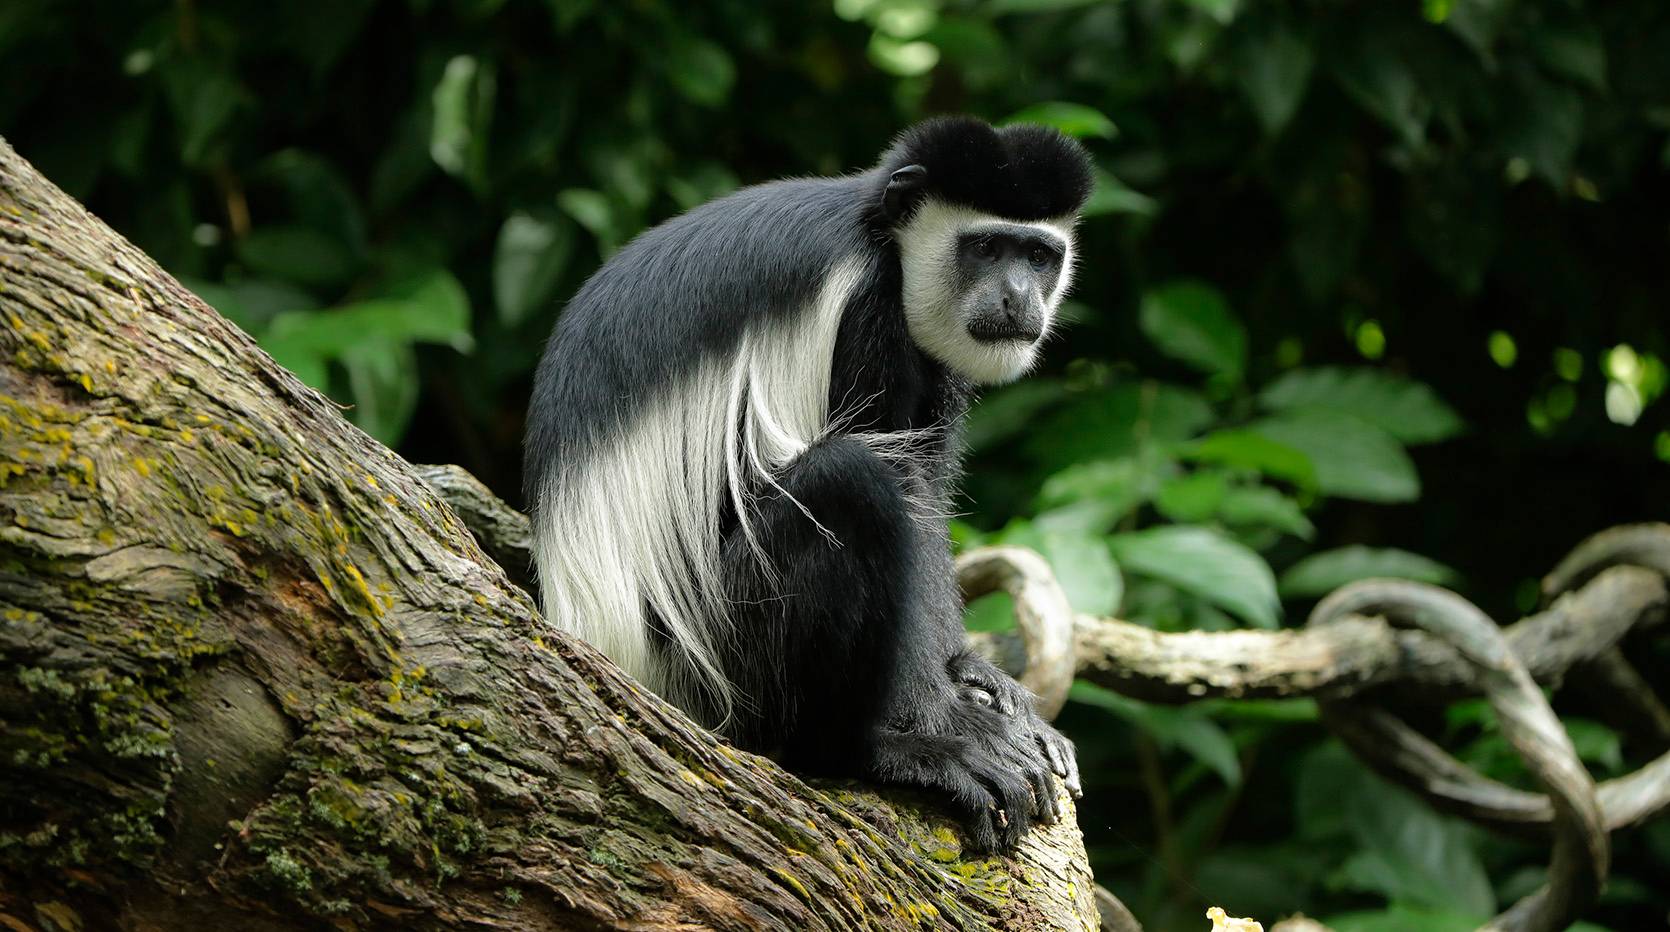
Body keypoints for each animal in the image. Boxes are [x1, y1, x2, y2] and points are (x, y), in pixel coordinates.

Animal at [524, 116, 1092, 852]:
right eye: (987, 247)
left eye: (1038, 256)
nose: (1019, 298)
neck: (884, 239)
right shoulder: (867, 308)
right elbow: (898, 484)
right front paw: (946, 727)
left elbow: (928, 494)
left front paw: (975, 677)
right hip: (721, 650)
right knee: (848, 482)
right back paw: (874, 750)